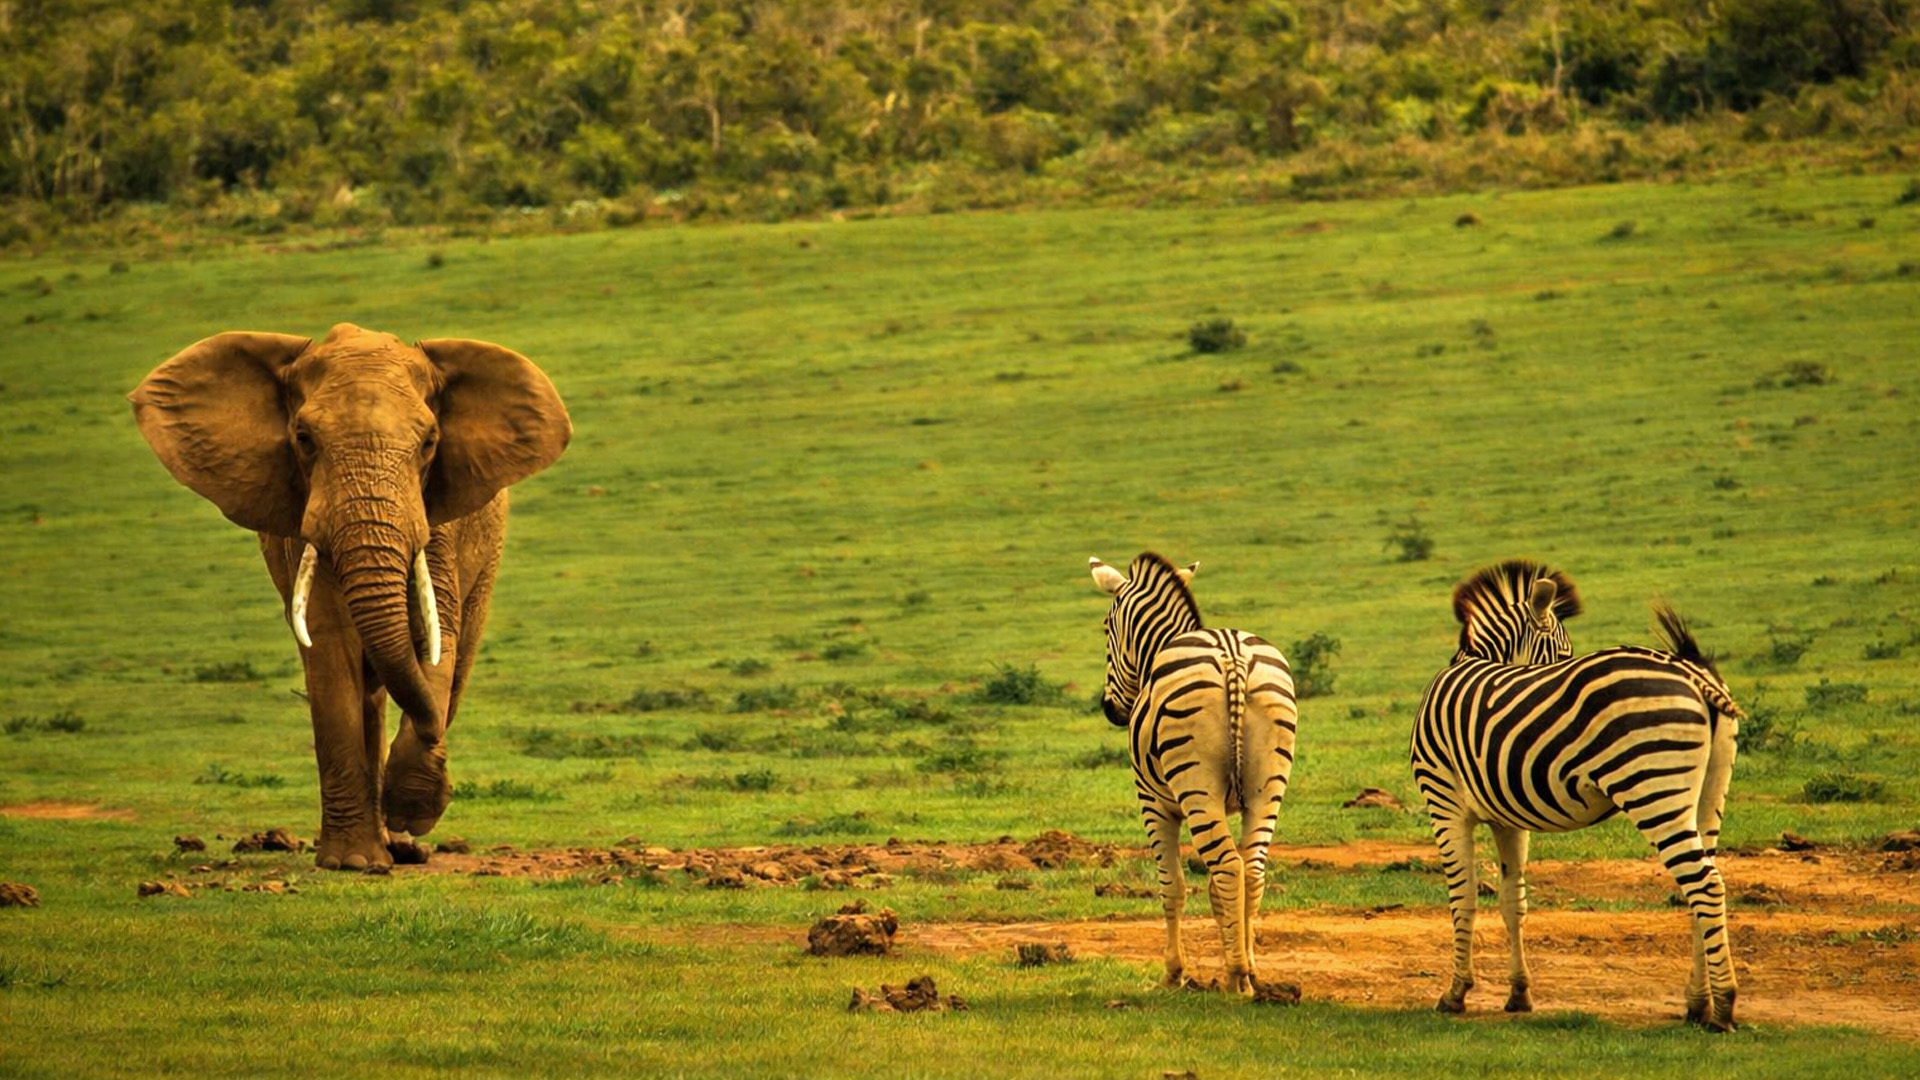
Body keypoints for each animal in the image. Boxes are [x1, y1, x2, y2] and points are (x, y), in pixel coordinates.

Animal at [130, 323, 571, 871]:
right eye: (303, 439)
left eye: (430, 443)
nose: (435, 796)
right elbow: (330, 648)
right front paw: (353, 862)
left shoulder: (437, 519)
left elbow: (436, 637)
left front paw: (412, 809)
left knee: (455, 657)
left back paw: (402, 843)